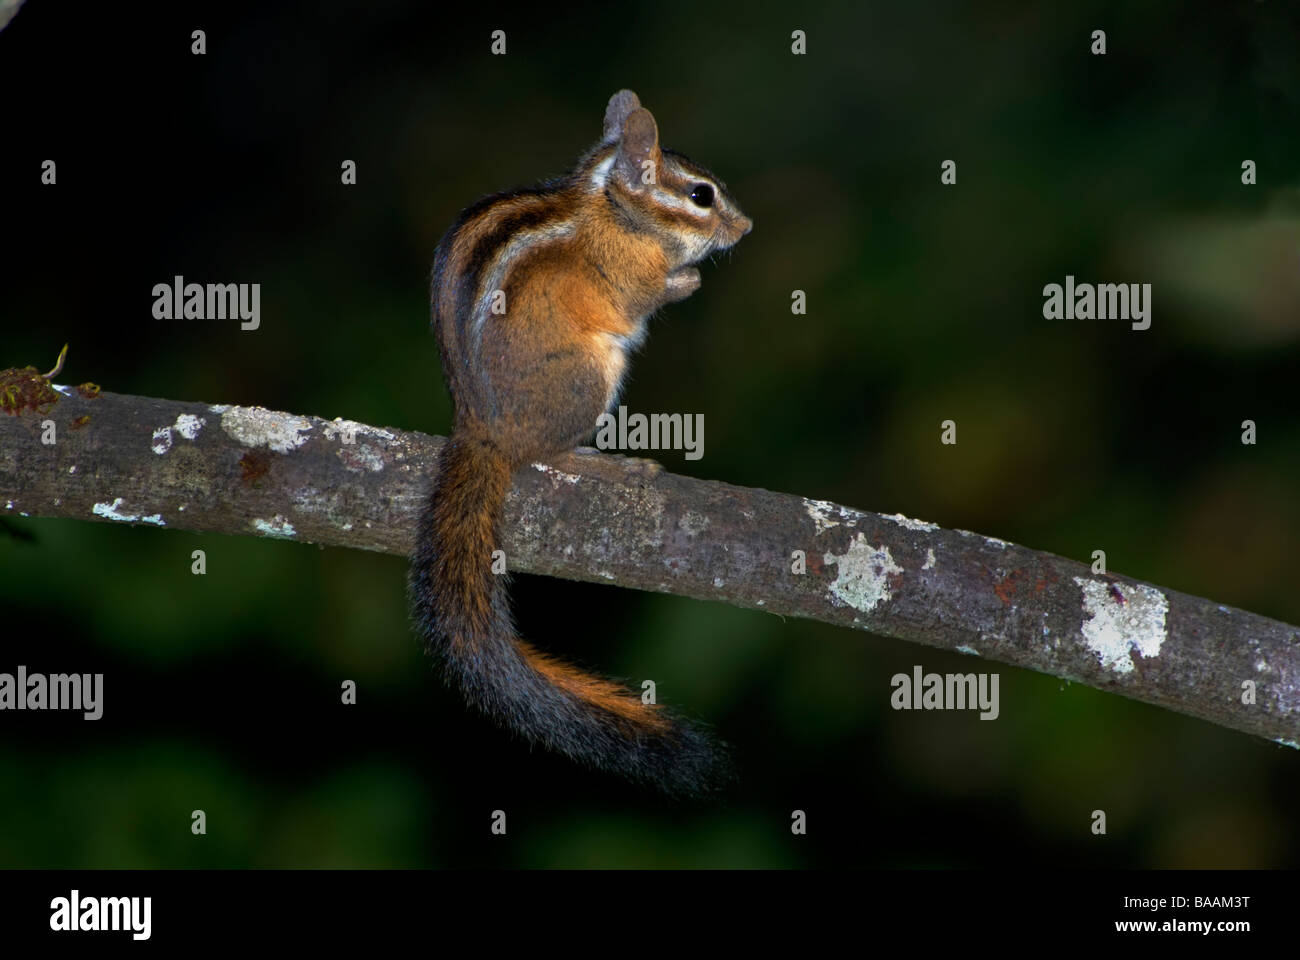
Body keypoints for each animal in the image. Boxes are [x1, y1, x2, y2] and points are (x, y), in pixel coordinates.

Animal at [408, 89, 752, 796]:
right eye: (702, 195)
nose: (746, 227)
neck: (614, 207)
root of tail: (483, 432)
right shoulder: (628, 271)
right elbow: (646, 292)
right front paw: (685, 282)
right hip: (596, 372)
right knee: (548, 456)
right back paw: (606, 466)